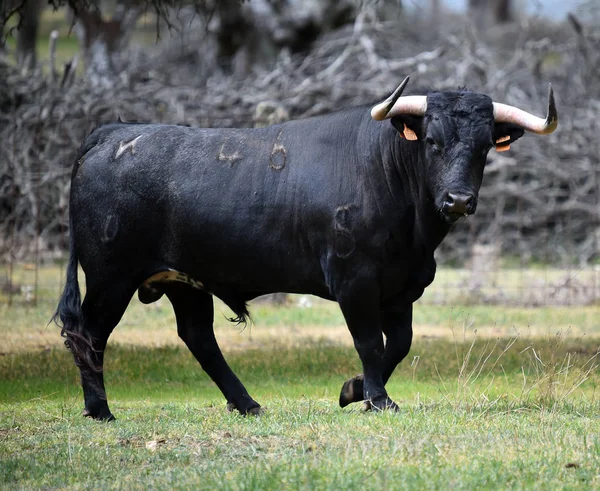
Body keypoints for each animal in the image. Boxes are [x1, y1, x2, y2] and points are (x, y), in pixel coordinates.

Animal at [52, 80, 556, 418]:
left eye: (485, 146)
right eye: (431, 141)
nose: (458, 200)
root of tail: (113, 133)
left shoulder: (401, 290)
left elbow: (399, 344)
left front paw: (354, 391)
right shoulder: (354, 281)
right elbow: (370, 342)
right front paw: (377, 399)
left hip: (185, 281)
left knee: (198, 337)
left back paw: (248, 404)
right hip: (110, 275)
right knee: (89, 333)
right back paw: (100, 410)